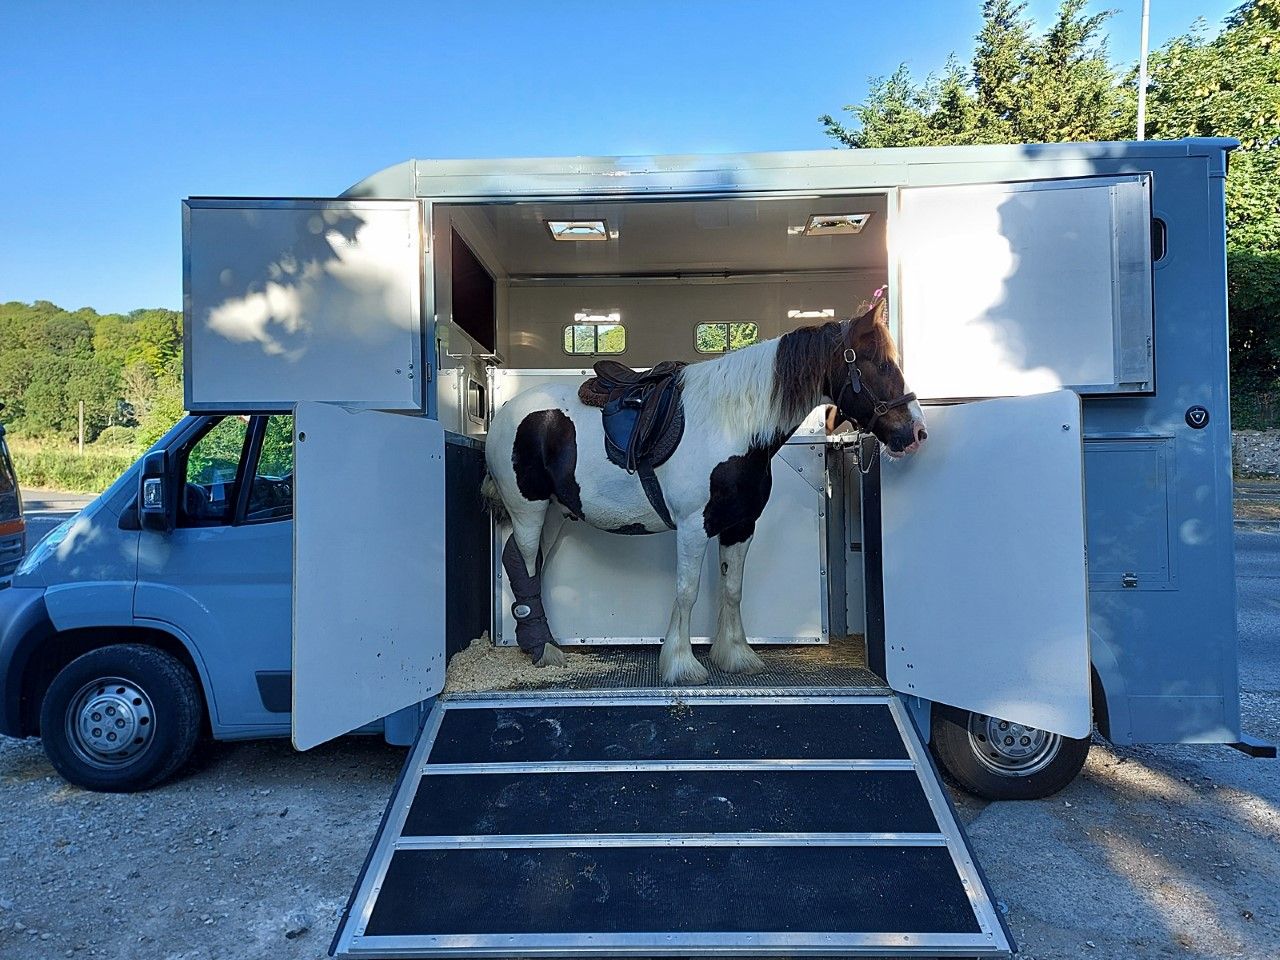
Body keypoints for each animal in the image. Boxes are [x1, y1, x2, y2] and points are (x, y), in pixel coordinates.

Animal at [481, 298, 927, 685]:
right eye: (880, 363)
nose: (917, 433)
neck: (731, 427)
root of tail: (506, 413)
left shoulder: (740, 527)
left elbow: (732, 589)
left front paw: (737, 656)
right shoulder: (694, 527)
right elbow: (686, 591)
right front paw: (681, 664)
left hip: (555, 512)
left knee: (519, 562)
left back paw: (540, 645)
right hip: (528, 510)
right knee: (526, 564)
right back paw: (544, 650)